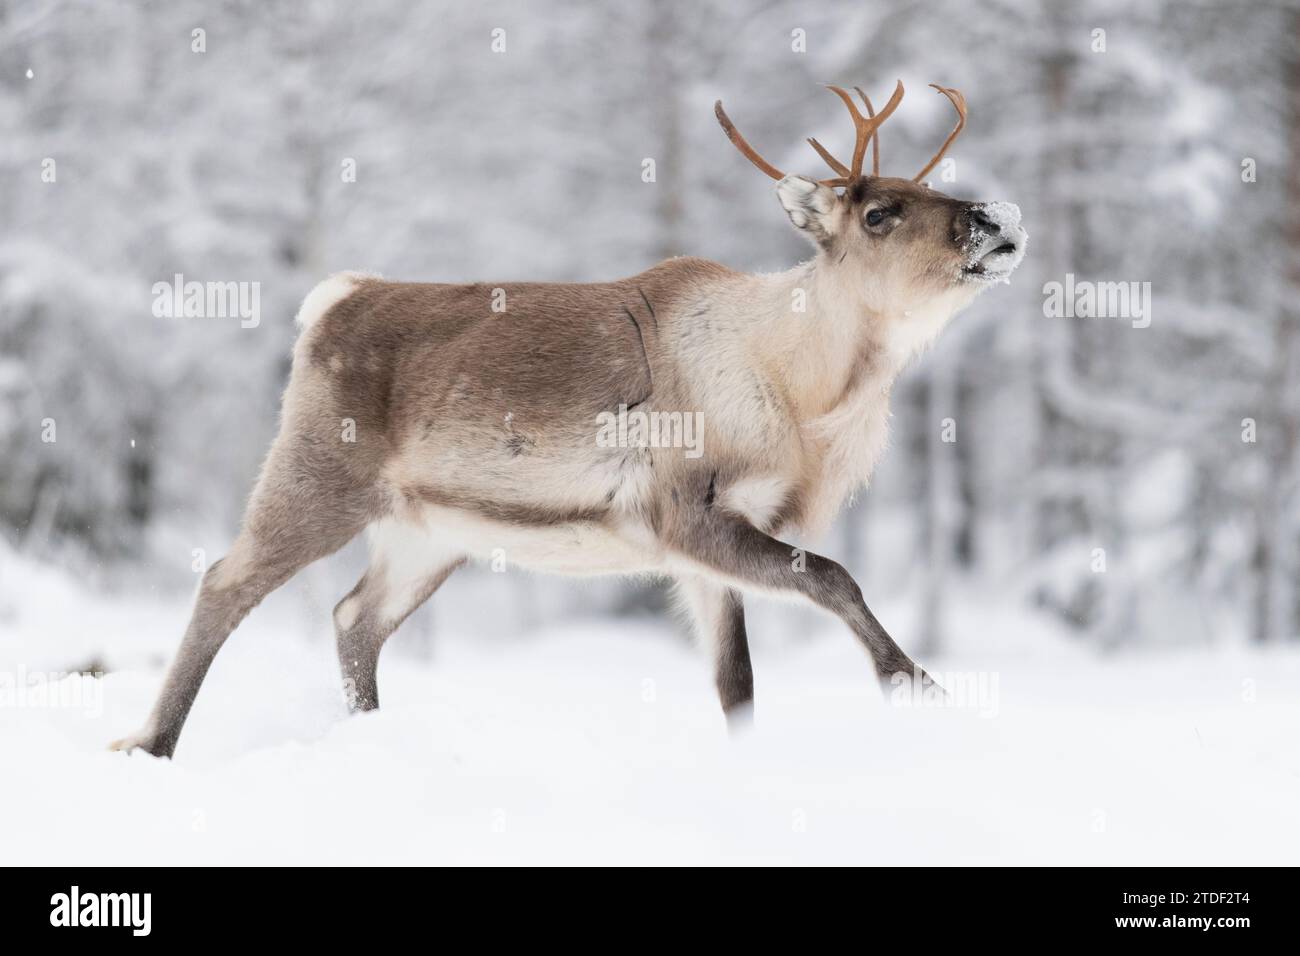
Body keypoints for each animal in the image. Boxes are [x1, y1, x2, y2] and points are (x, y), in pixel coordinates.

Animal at [111, 81, 1026, 758]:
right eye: (878, 213)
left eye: (932, 187)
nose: (999, 218)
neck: (811, 393)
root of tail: (331, 300)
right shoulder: (683, 511)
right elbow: (836, 577)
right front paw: (917, 686)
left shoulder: (709, 547)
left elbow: (736, 684)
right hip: (316, 477)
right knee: (224, 581)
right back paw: (151, 744)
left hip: (429, 531)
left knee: (353, 618)